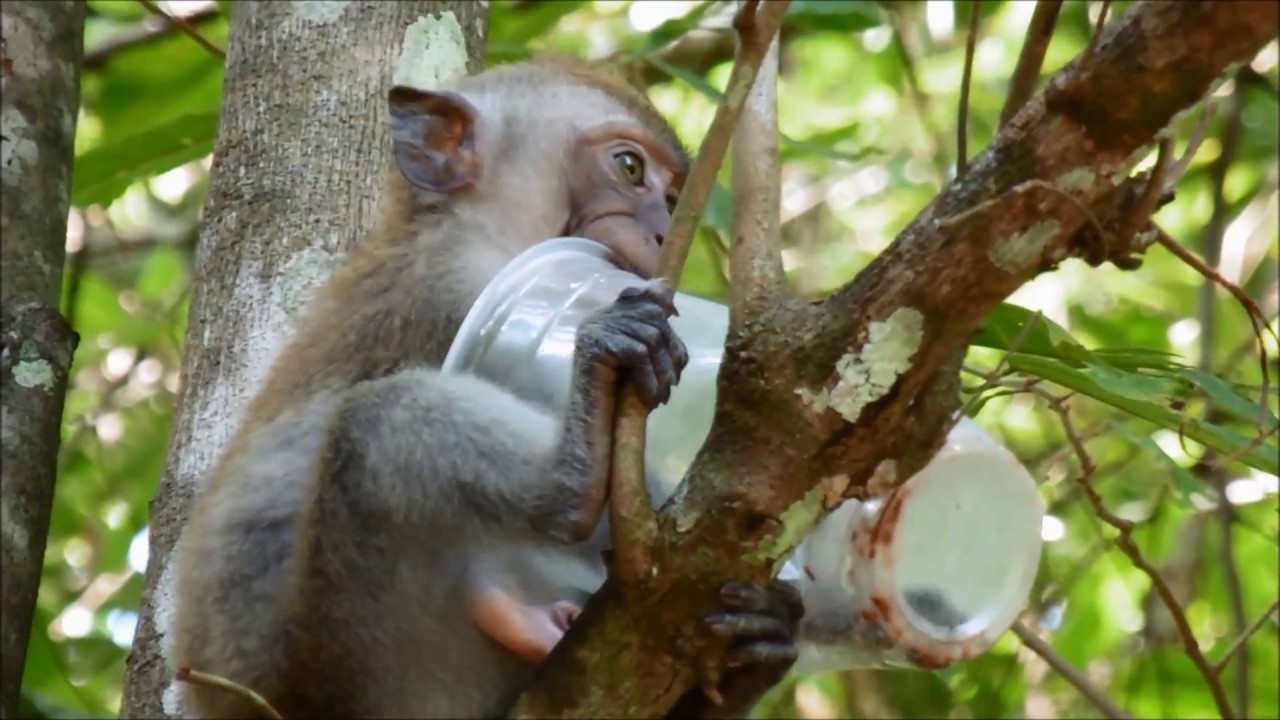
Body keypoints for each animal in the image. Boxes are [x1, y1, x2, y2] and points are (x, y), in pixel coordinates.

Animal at [172, 58, 802, 720]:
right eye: (630, 168)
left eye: (674, 197)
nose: (661, 233)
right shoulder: (463, 284)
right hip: (353, 660)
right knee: (382, 421)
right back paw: (569, 476)